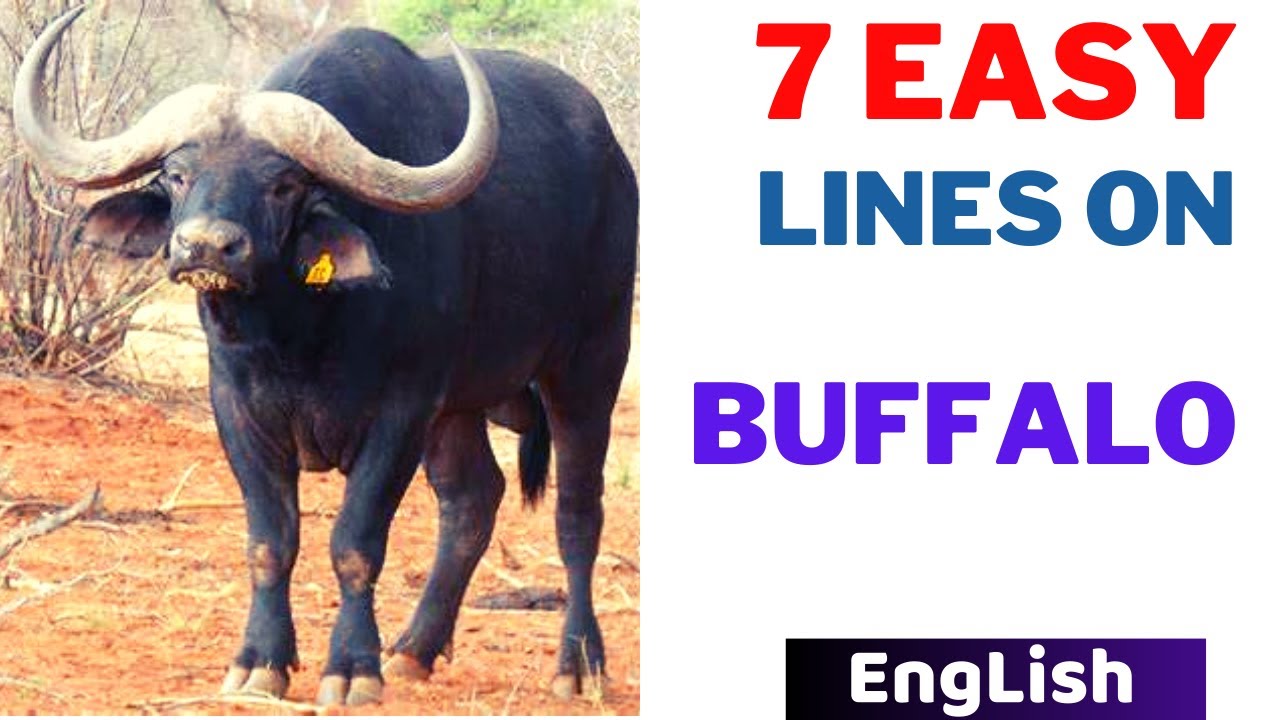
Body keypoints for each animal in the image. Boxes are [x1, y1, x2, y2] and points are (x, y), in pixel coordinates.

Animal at [12, 6, 636, 707]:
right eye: (177, 173)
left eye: (283, 184)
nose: (206, 247)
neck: (299, 335)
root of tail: (615, 165)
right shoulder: (237, 408)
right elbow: (270, 541)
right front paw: (261, 661)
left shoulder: (401, 412)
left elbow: (355, 543)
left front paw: (351, 668)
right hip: (458, 409)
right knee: (473, 498)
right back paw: (415, 650)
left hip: (590, 363)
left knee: (577, 513)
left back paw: (578, 663)